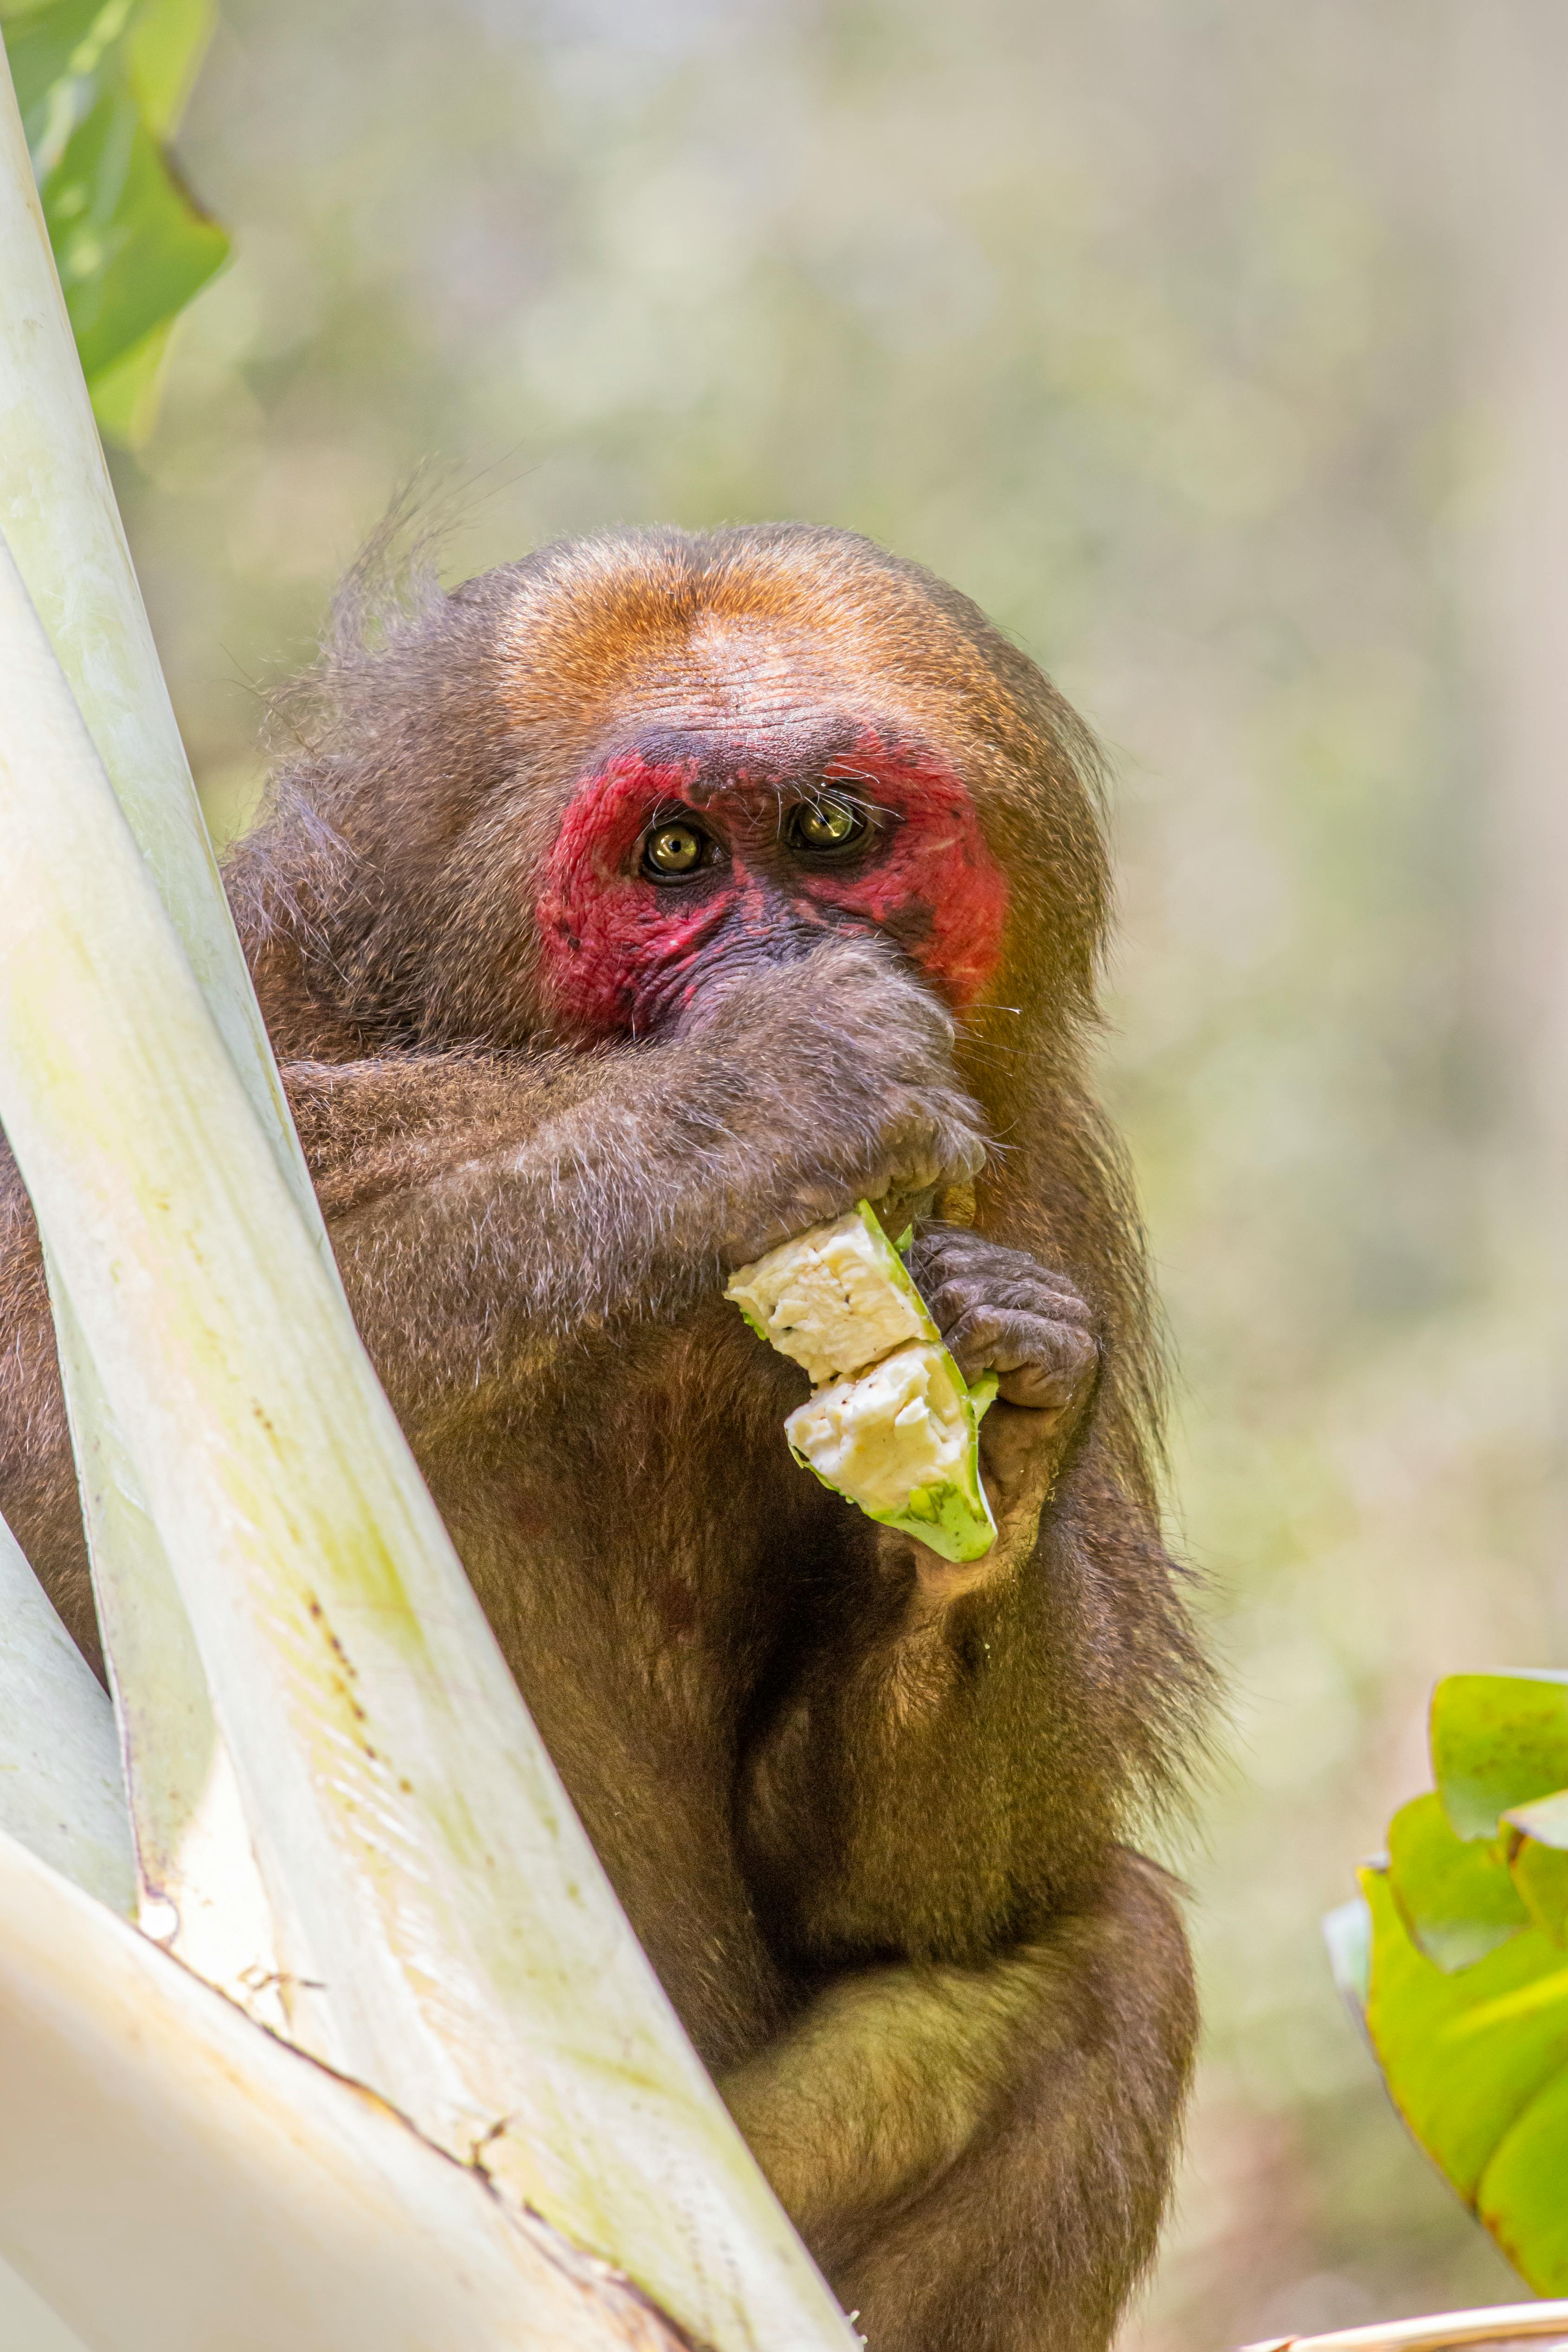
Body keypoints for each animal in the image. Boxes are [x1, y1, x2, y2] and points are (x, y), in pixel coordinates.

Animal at [0, 522, 1209, 2351]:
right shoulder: (253, 973)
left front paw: (998, 1435)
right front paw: (748, 1106)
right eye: (673, 856)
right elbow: (73, 1401)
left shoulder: (1037, 1169)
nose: (775, 962)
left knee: (1104, 1968)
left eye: (833, 834)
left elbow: (896, 1888)